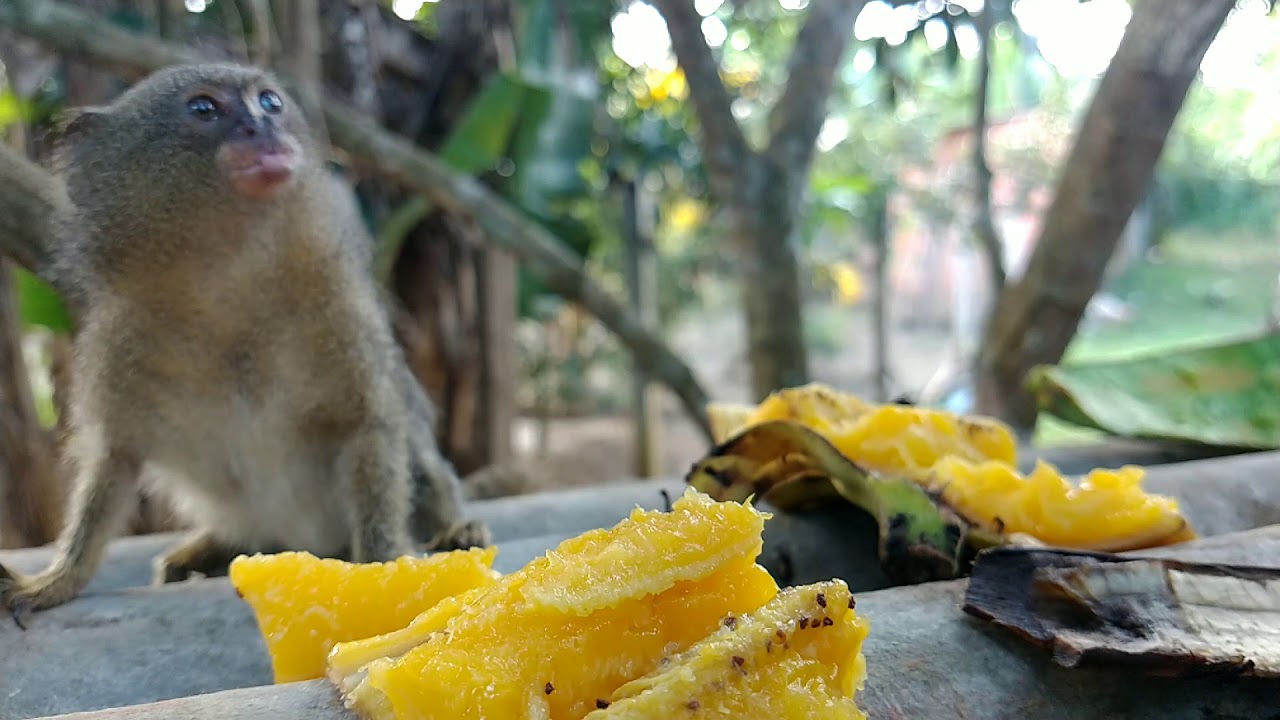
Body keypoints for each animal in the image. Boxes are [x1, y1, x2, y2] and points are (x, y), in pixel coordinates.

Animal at [0, 63, 490, 626]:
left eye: (270, 102)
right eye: (204, 108)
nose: (262, 127)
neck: (230, 288)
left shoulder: (342, 315)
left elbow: (371, 427)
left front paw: (384, 564)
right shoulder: (118, 345)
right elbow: (114, 461)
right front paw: (58, 578)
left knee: (425, 467)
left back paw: (456, 531)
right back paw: (207, 550)